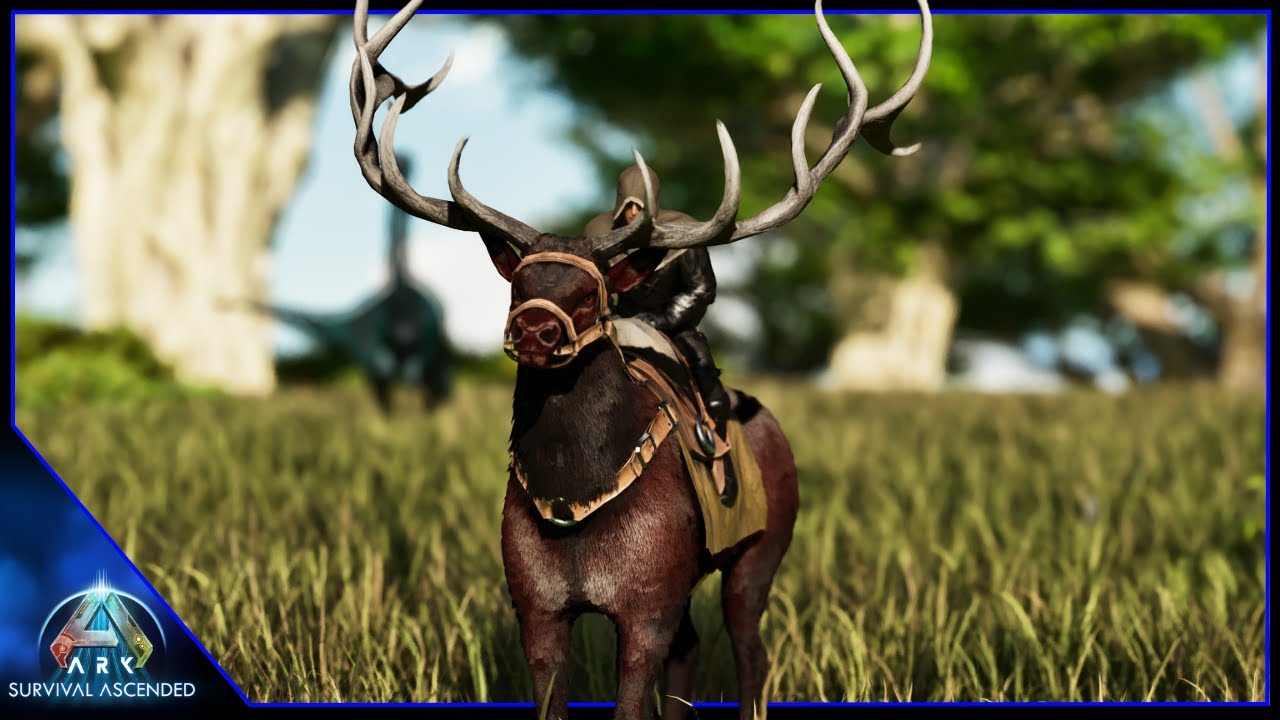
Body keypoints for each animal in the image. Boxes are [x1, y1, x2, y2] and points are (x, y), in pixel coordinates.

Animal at [348, 1, 932, 718]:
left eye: (590, 291)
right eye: (519, 283)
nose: (533, 329)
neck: (574, 504)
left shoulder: (646, 604)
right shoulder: (536, 605)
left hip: (761, 550)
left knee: (750, 648)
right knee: (691, 651)